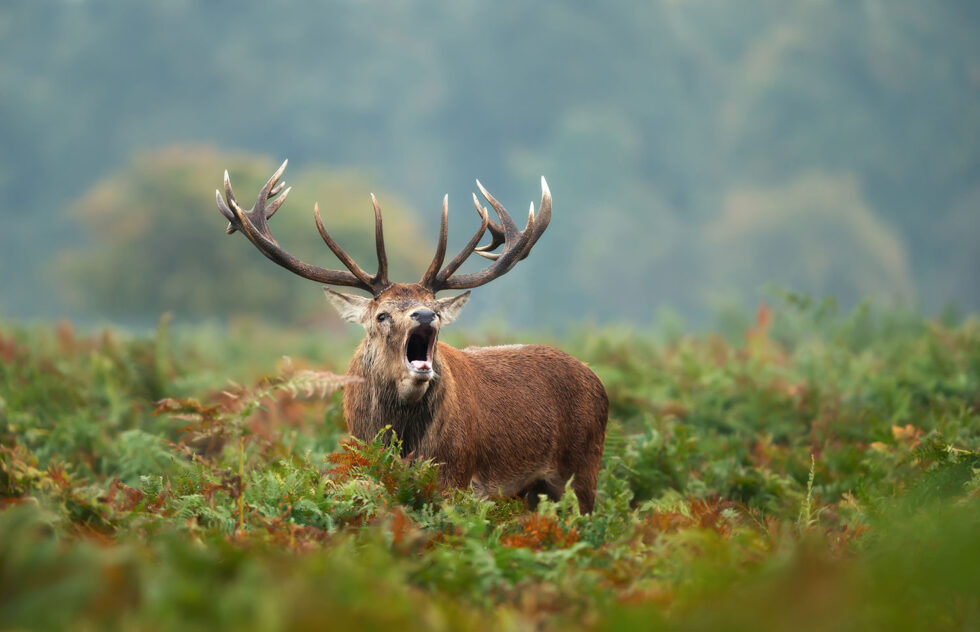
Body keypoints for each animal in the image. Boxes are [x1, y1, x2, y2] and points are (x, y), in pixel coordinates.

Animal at [216, 161, 608, 512]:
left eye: (435, 307)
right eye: (382, 315)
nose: (425, 314)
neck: (402, 444)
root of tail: (596, 379)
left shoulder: (457, 477)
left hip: (585, 466)